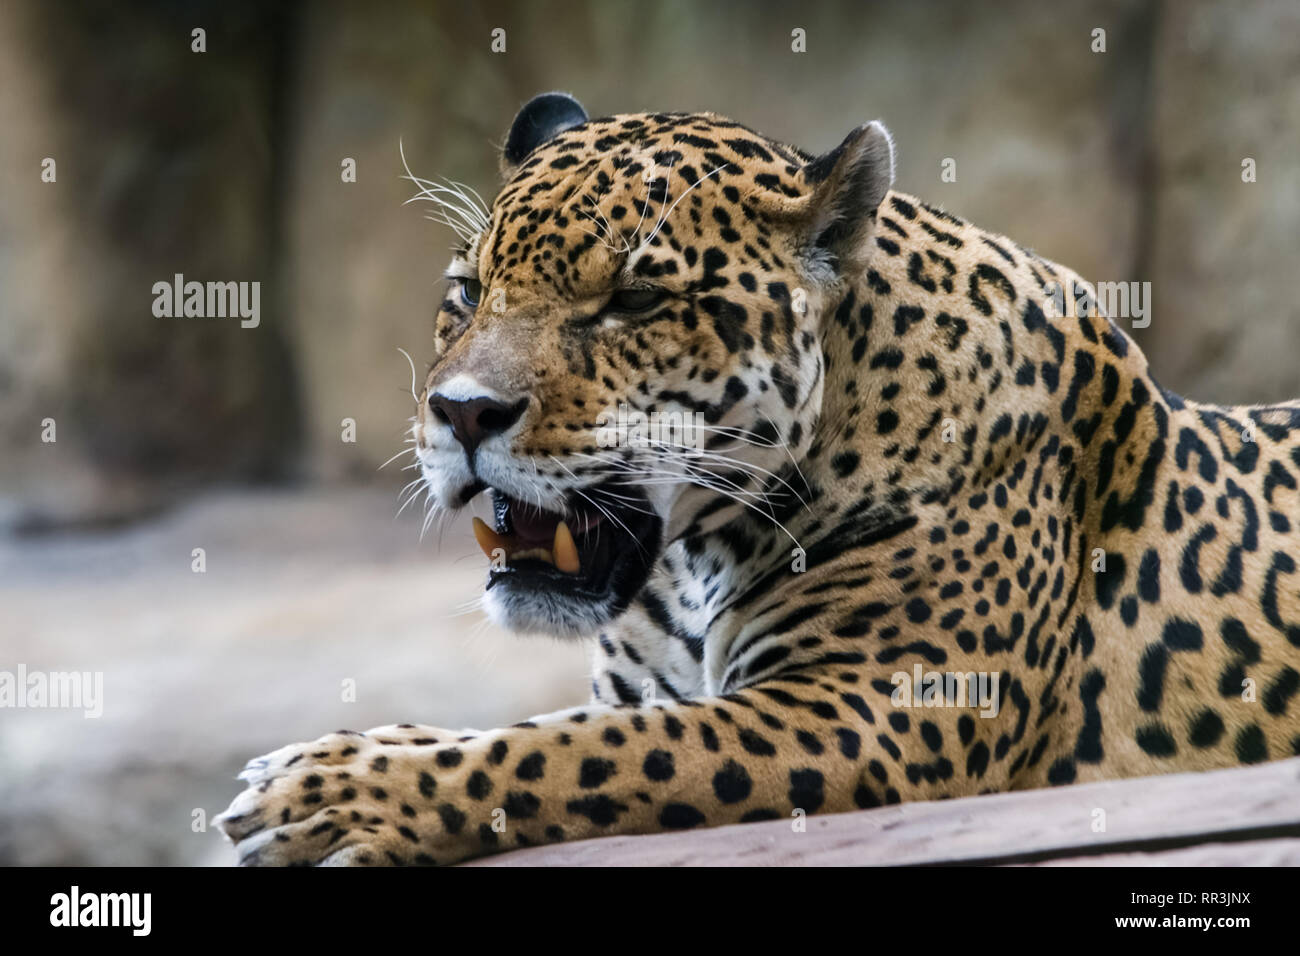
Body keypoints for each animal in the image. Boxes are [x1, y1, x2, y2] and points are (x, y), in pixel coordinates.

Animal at [217, 92, 1300, 865]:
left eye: (636, 300)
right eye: (466, 292)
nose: (462, 412)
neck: (691, 560)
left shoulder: (872, 710)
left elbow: (582, 754)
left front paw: (334, 790)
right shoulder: (661, 689)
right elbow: (555, 728)